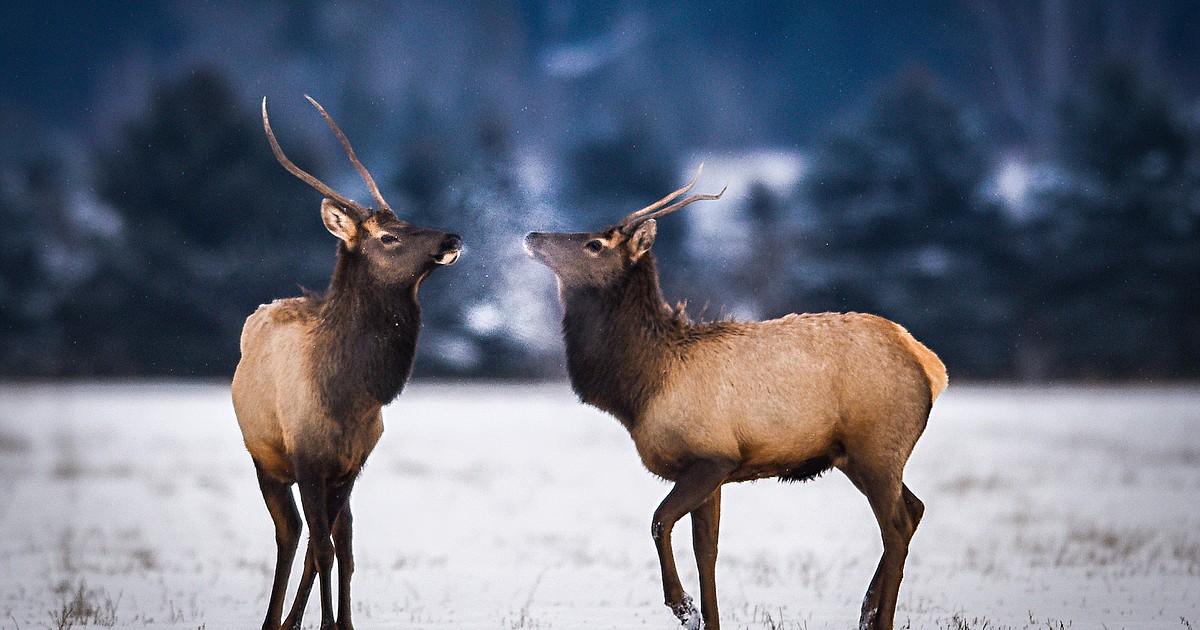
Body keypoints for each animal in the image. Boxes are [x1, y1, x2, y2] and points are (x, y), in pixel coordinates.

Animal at [231, 96, 462, 630]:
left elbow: (343, 552)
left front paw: (341, 625)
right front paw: (316, 624)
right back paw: (273, 621)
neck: (349, 392)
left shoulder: (351, 465)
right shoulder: (307, 460)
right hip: (265, 459)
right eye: (388, 237)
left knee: (330, 539)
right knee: (291, 533)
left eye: (407, 221)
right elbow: (321, 550)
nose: (451, 238)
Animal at [523, 165, 947, 630]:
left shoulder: (712, 456)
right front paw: (706, 616)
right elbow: (706, 550)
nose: (532, 235)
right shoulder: (707, 467)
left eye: (595, 244)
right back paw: (867, 609)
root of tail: (929, 364)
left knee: (895, 526)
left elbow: (658, 522)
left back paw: (877, 616)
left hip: (877, 446)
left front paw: (683, 606)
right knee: (915, 509)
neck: (641, 388)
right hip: (857, 456)